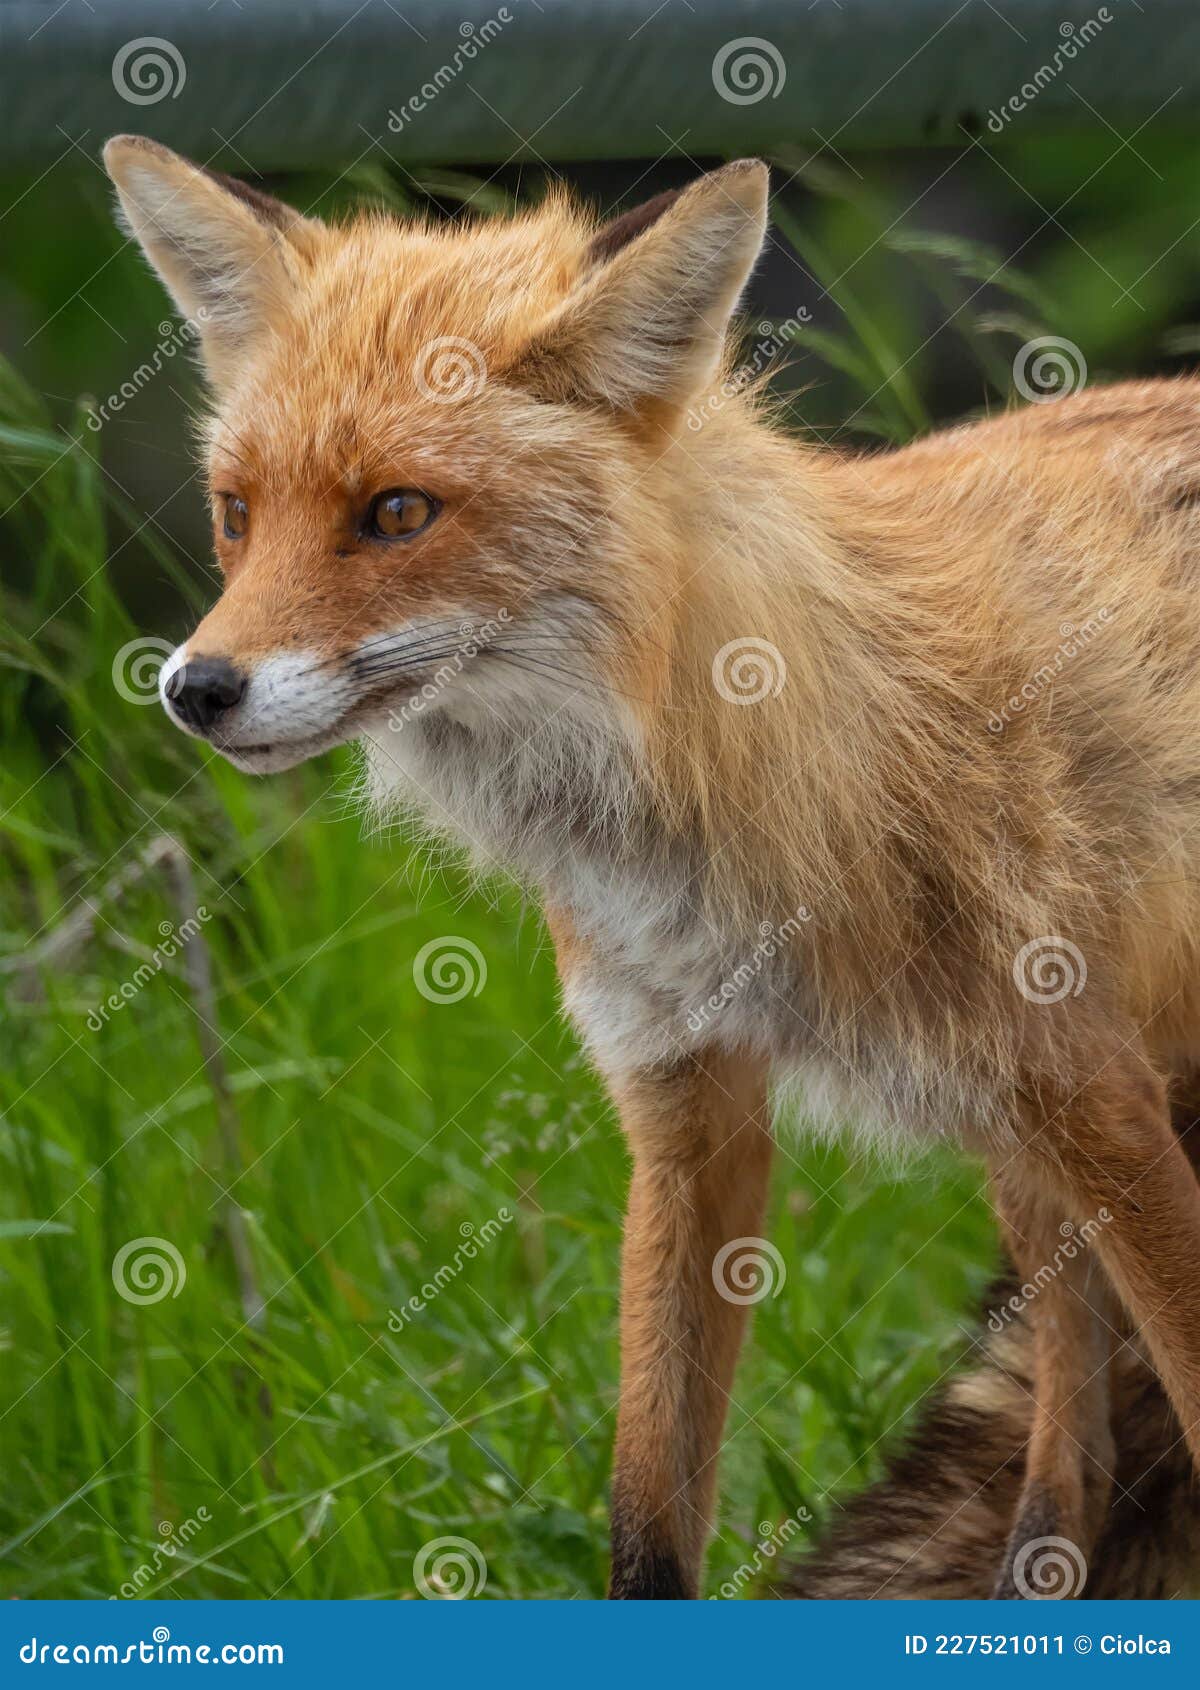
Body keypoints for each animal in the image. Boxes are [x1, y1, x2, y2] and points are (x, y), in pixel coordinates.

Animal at [103, 134, 1200, 1600]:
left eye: (397, 511)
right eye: (235, 514)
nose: (195, 690)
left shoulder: (1094, 1088)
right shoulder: (683, 1099)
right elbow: (647, 1518)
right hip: (1009, 1143)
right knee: (1067, 1446)